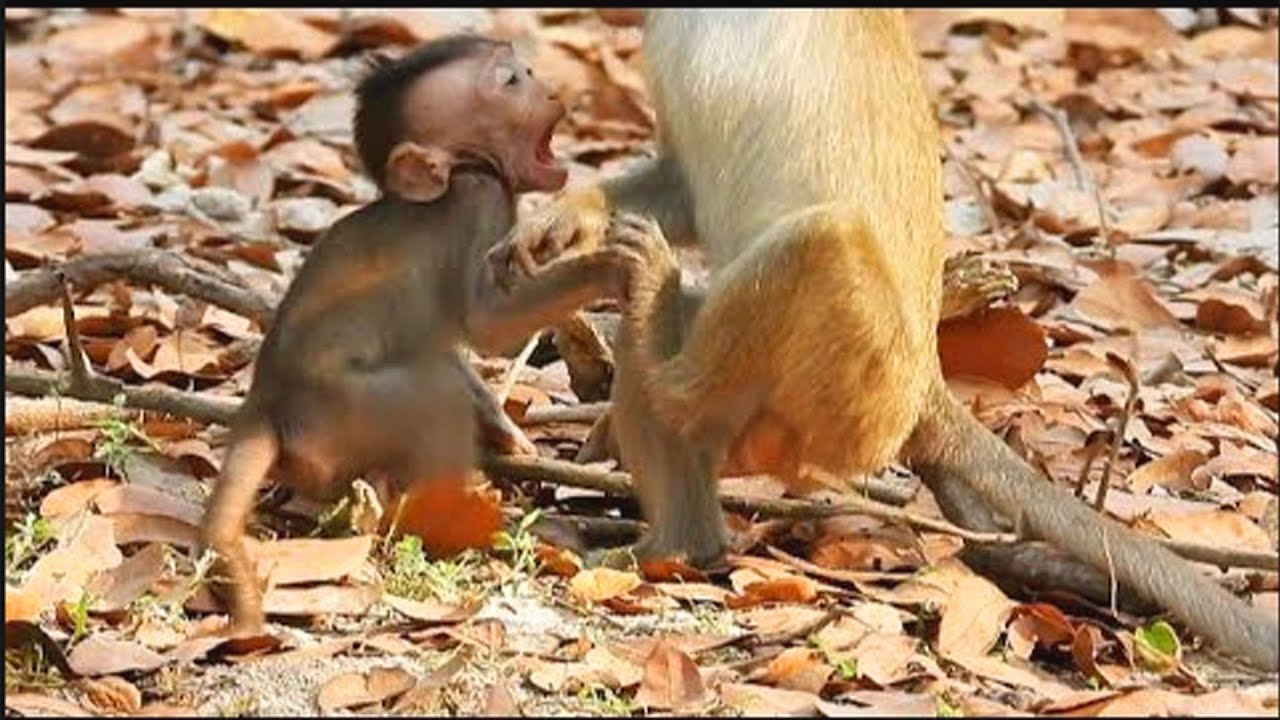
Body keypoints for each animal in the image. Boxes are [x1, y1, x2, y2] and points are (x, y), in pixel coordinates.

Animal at [201, 34, 642, 636]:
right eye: (512, 81)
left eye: (526, 71)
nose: (553, 89)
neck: (459, 173)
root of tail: (265, 406)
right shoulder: (481, 198)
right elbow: (486, 325)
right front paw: (608, 263)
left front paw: (506, 430)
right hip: (347, 413)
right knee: (434, 397)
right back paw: (463, 520)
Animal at [493, 11, 1278, 670]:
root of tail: (925, 387)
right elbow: (682, 185)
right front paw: (563, 217)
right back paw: (676, 539)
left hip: (851, 396)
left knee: (823, 236)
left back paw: (660, 341)